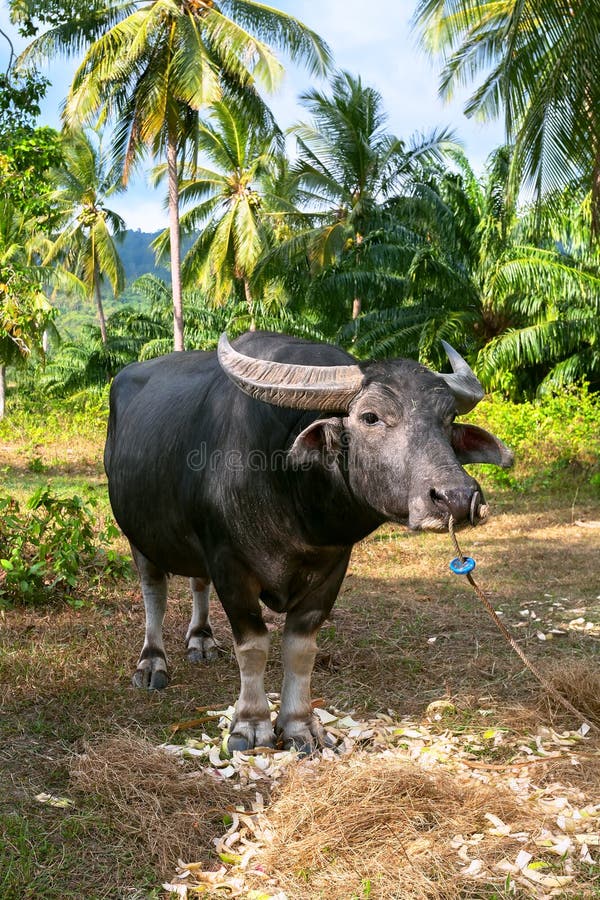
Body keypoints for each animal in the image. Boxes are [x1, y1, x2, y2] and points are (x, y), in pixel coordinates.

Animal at [104, 331, 513, 754]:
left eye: (447, 420)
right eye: (371, 416)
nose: (458, 498)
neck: (290, 491)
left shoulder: (331, 569)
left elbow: (300, 649)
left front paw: (299, 726)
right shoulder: (229, 563)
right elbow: (253, 645)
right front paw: (250, 725)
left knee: (197, 580)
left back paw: (200, 640)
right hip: (137, 534)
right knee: (154, 591)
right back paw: (152, 662)